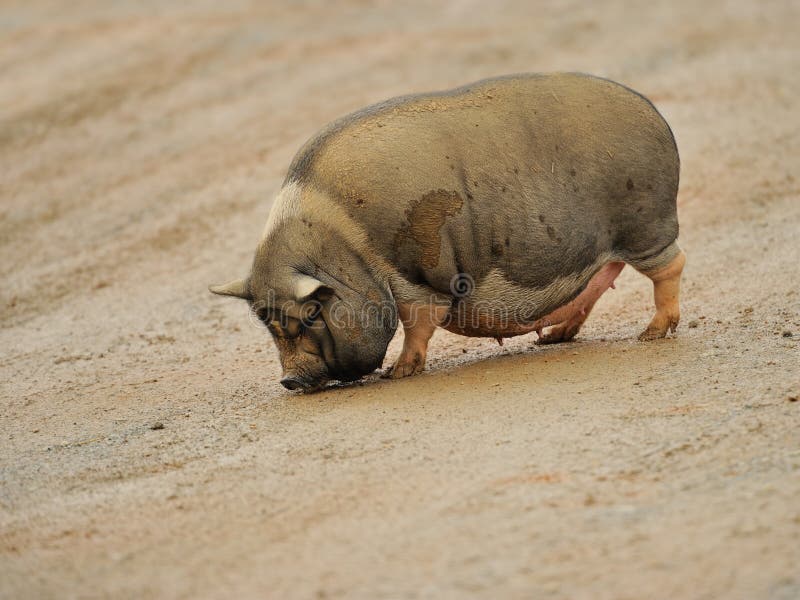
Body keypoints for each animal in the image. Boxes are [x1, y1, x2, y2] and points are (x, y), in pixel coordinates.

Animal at [210, 73, 685, 392]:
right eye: (264, 320)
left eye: (310, 315)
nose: (289, 380)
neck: (346, 250)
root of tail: (656, 115)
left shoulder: (420, 280)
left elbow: (417, 323)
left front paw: (398, 373)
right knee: (600, 282)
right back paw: (554, 338)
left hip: (646, 225)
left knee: (671, 266)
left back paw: (652, 334)